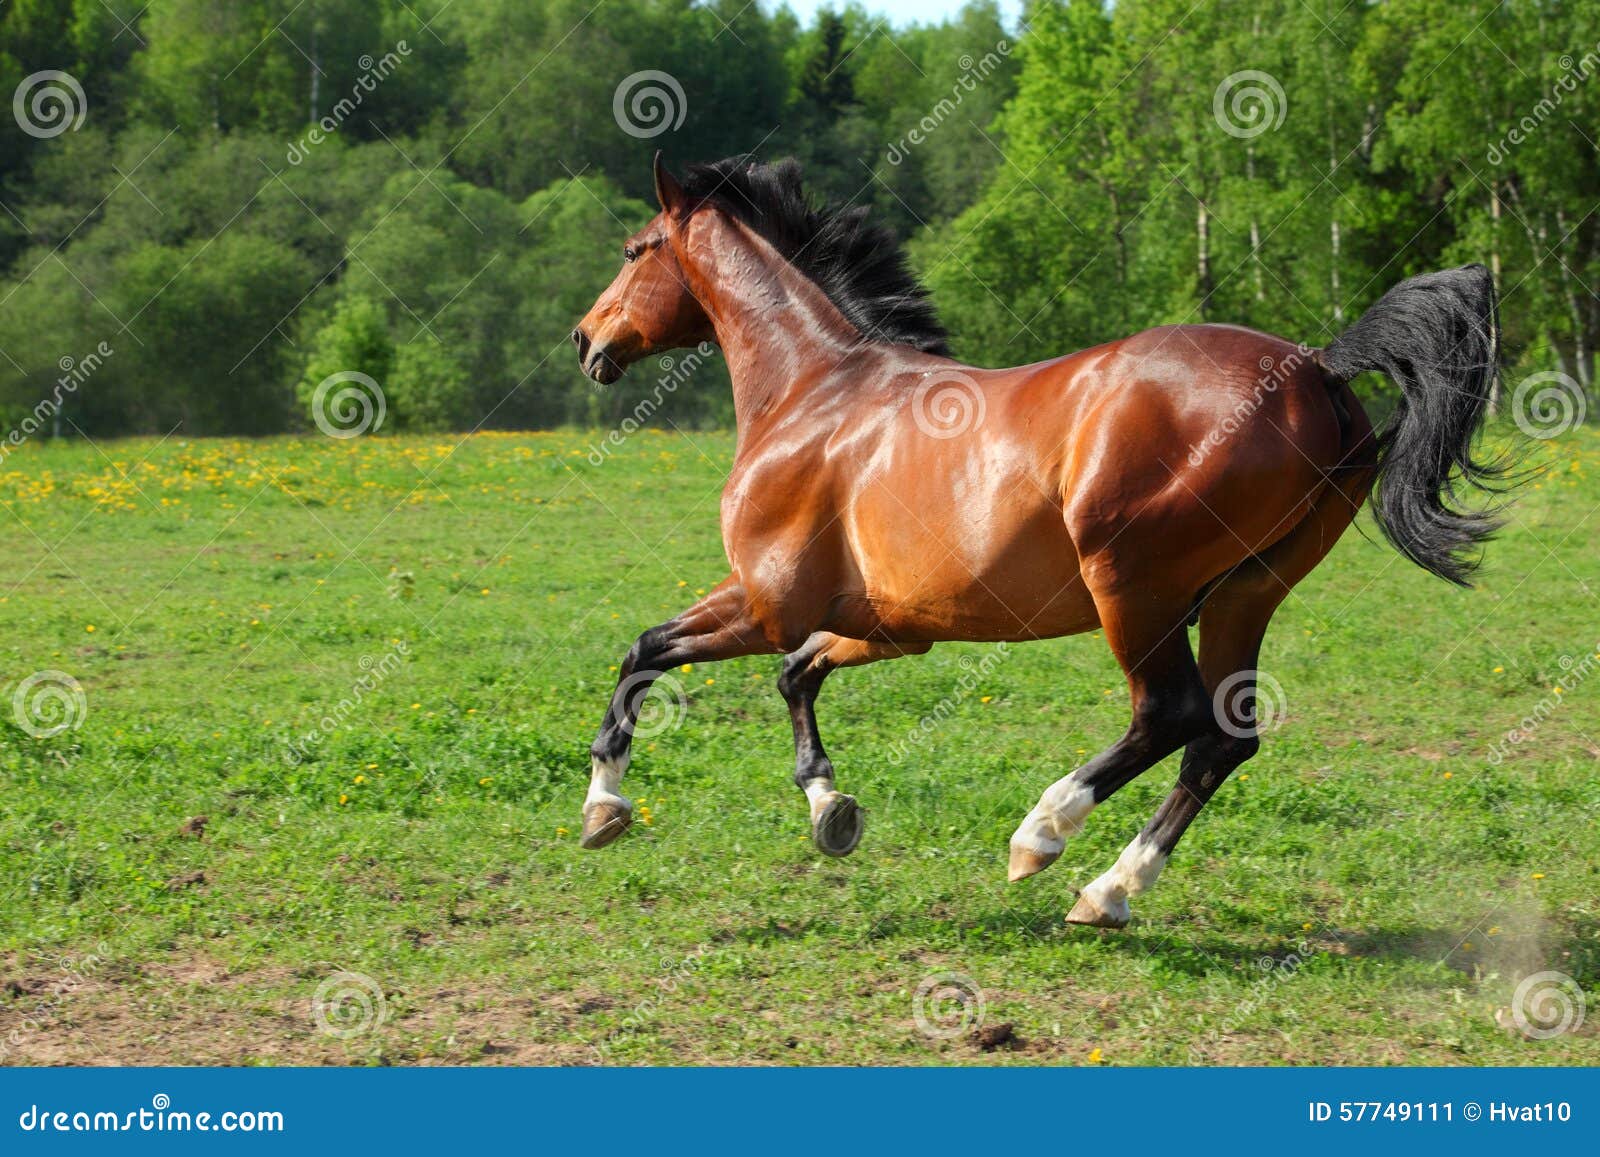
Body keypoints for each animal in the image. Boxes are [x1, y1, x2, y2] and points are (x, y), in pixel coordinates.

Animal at [570, 153, 1504, 928]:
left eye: (634, 248)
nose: (586, 340)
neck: (815, 391)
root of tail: (1318, 367)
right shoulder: (891, 626)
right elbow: (796, 677)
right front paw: (830, 809)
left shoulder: (768, 603)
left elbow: (645, 650)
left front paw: (603, 806)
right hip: (1248, 590)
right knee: (1222, 739)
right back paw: (1109, 891)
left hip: (1133, 585)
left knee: (1168, 714)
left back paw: (1043, 833)